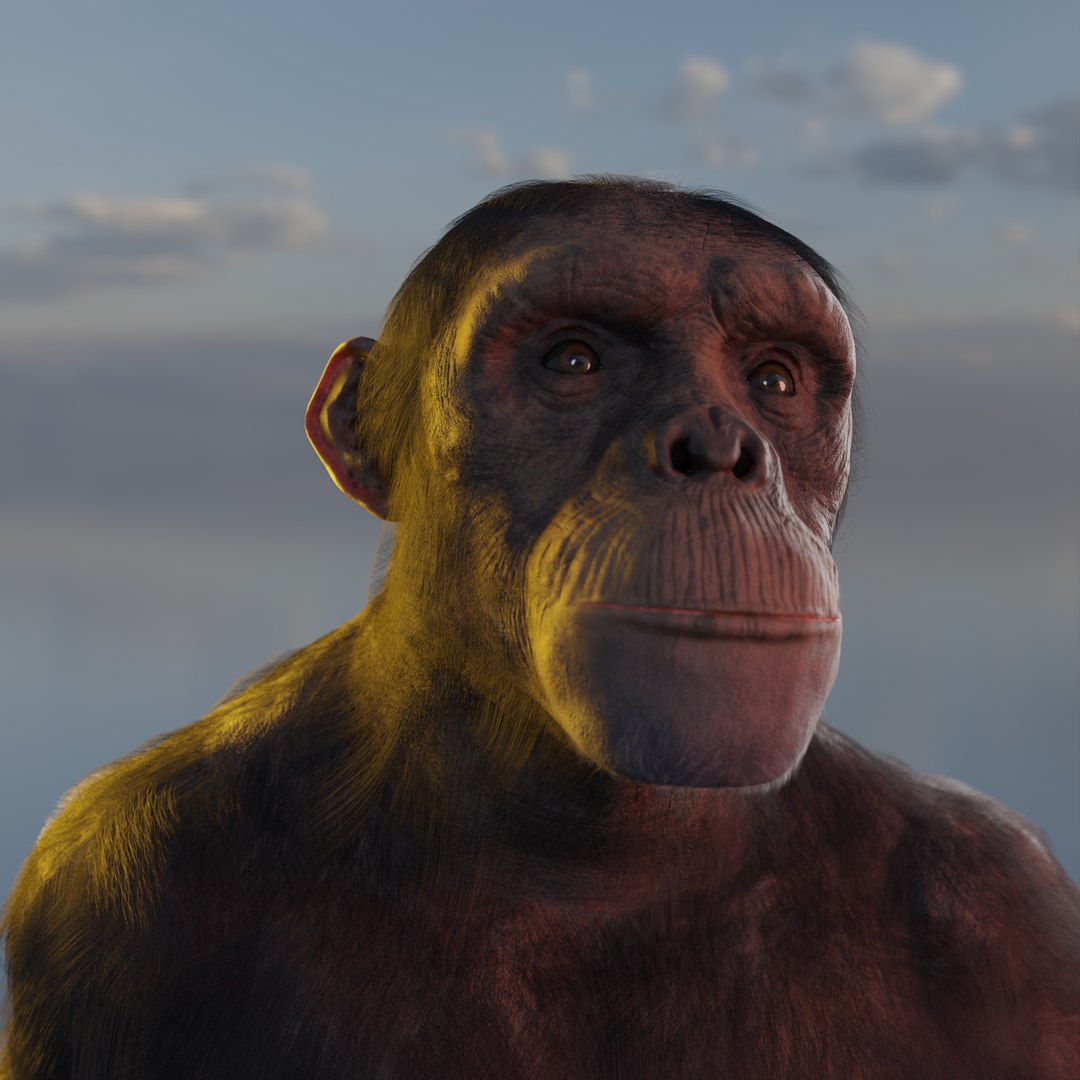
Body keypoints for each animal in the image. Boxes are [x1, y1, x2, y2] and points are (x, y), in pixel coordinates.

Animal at [2, 176, 1078, 1079]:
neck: (578, 852)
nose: (717, 448)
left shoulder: (1013, 901)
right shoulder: (104, 888)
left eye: (774, 380)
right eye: (574, 360)